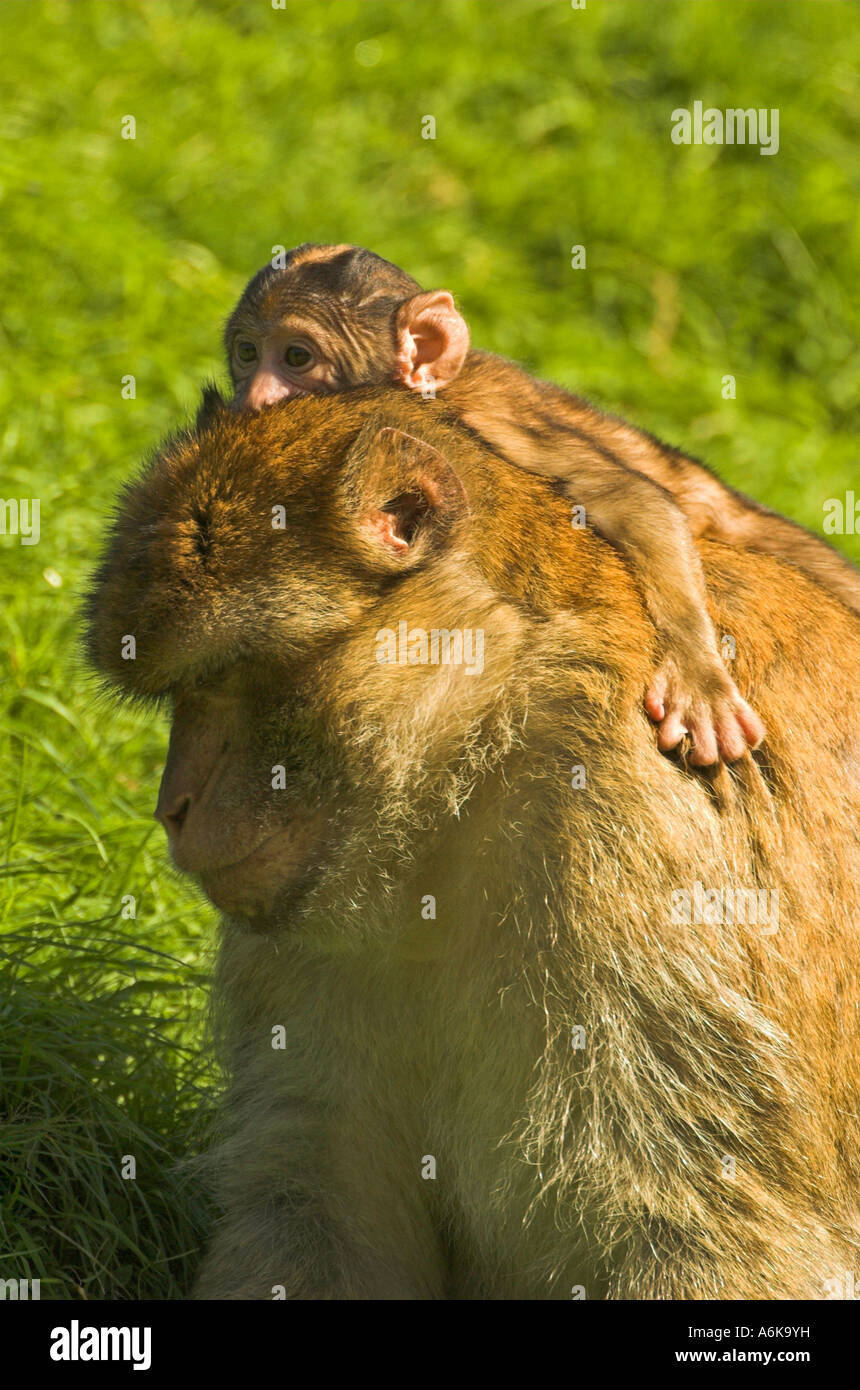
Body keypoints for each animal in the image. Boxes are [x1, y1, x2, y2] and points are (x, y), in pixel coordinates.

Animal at [86, 385, 860, 1299]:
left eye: (213, 679)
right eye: (178, 693)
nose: (173, 806)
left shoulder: (641, 846)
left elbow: (707, 1225)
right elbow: (319, 1204)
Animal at [224, 243, 860, 768]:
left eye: (297, 357)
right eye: (247, 353)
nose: (252, 398)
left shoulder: (494, 422)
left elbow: (636, 502)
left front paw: (700, 677)